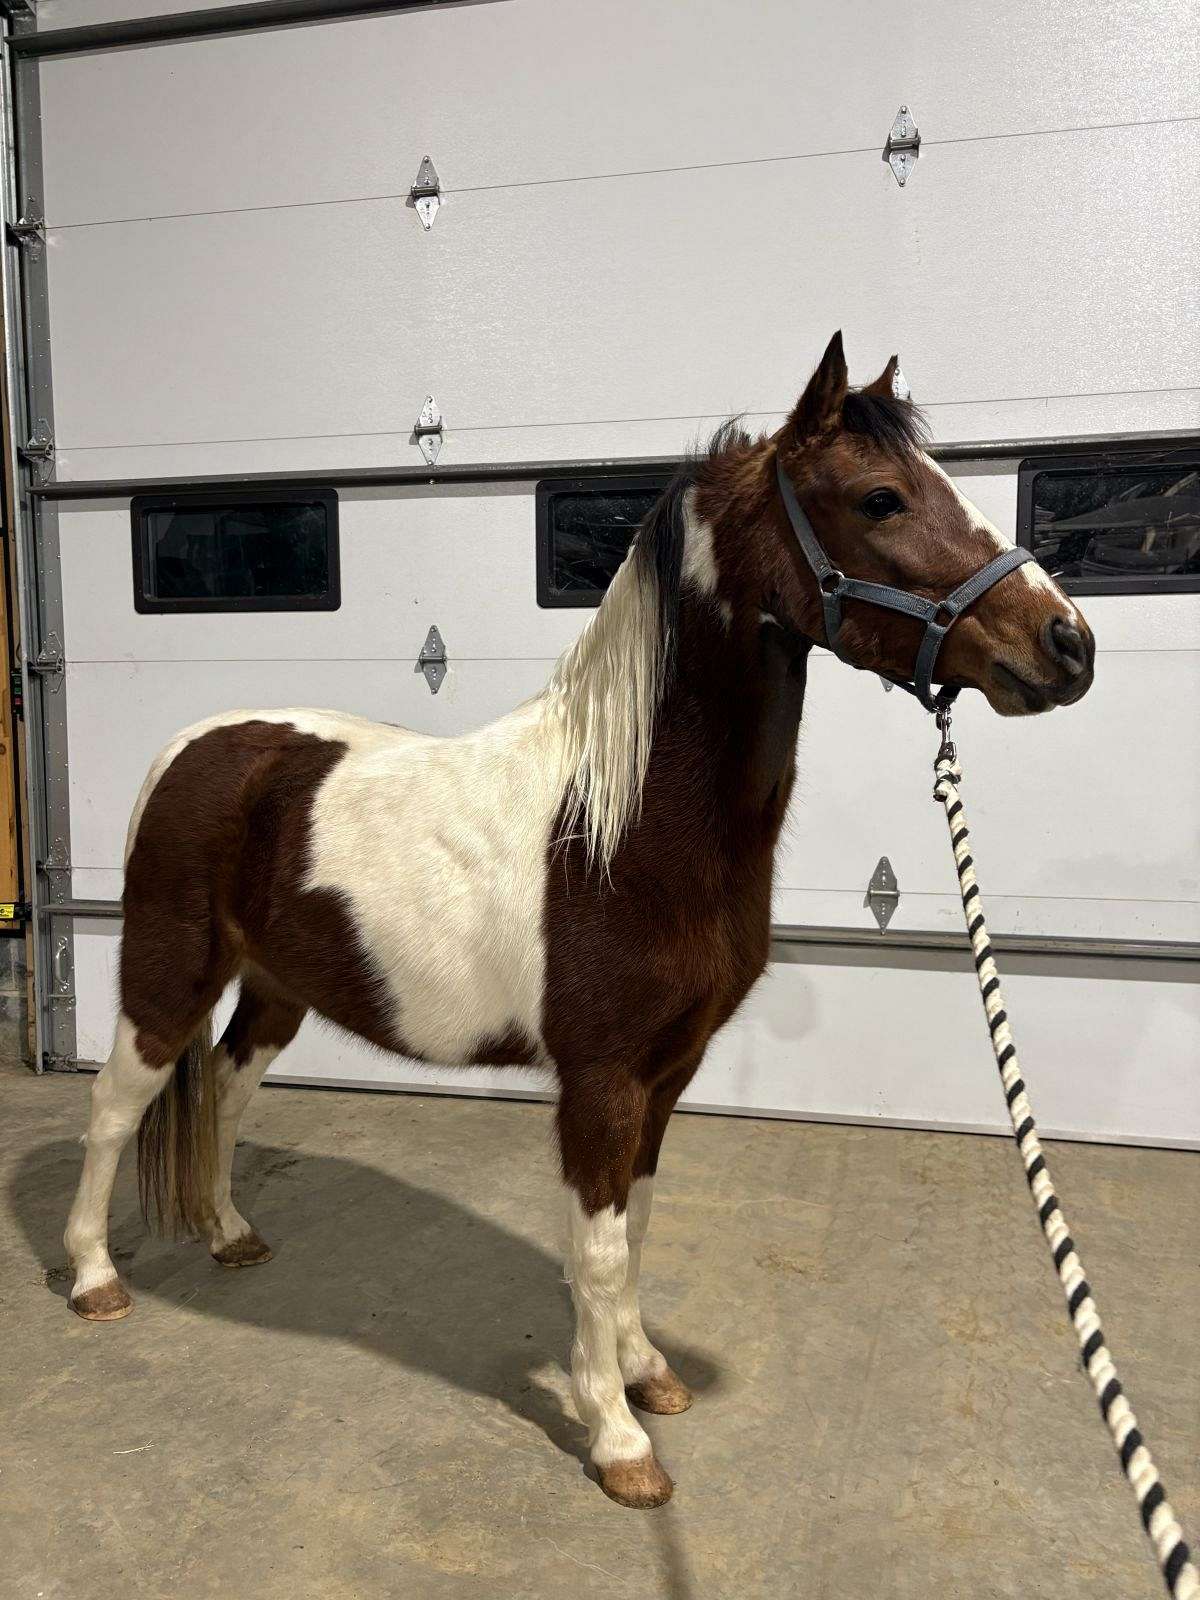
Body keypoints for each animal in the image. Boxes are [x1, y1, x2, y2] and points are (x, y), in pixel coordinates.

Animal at [63, 332, 1095, 1509]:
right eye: (881, 496)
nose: (1067, 642)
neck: (628, 821)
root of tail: (197, 745)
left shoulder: (667, 1073)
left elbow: (633, 1229)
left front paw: (645, 1371)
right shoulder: (601, 1080)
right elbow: (597, 1249)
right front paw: (616, 1436)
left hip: (277, 988)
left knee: (228, 1090)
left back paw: (231, 1234)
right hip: (166, 974)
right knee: (115, 1107)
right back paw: (94, 1275)